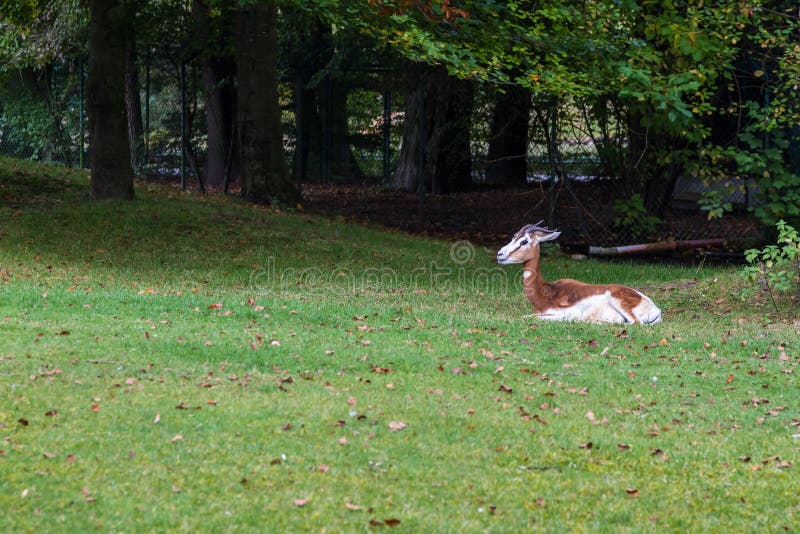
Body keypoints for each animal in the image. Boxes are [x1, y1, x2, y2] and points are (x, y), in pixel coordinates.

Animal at [497, 223, 662, 324]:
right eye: (513, 237)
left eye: (524, 241)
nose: (500, 254)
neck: (546, 293)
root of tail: (656, 309)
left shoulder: (567, 313)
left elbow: (528, 316)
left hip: (617, 300)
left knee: (635, 323)